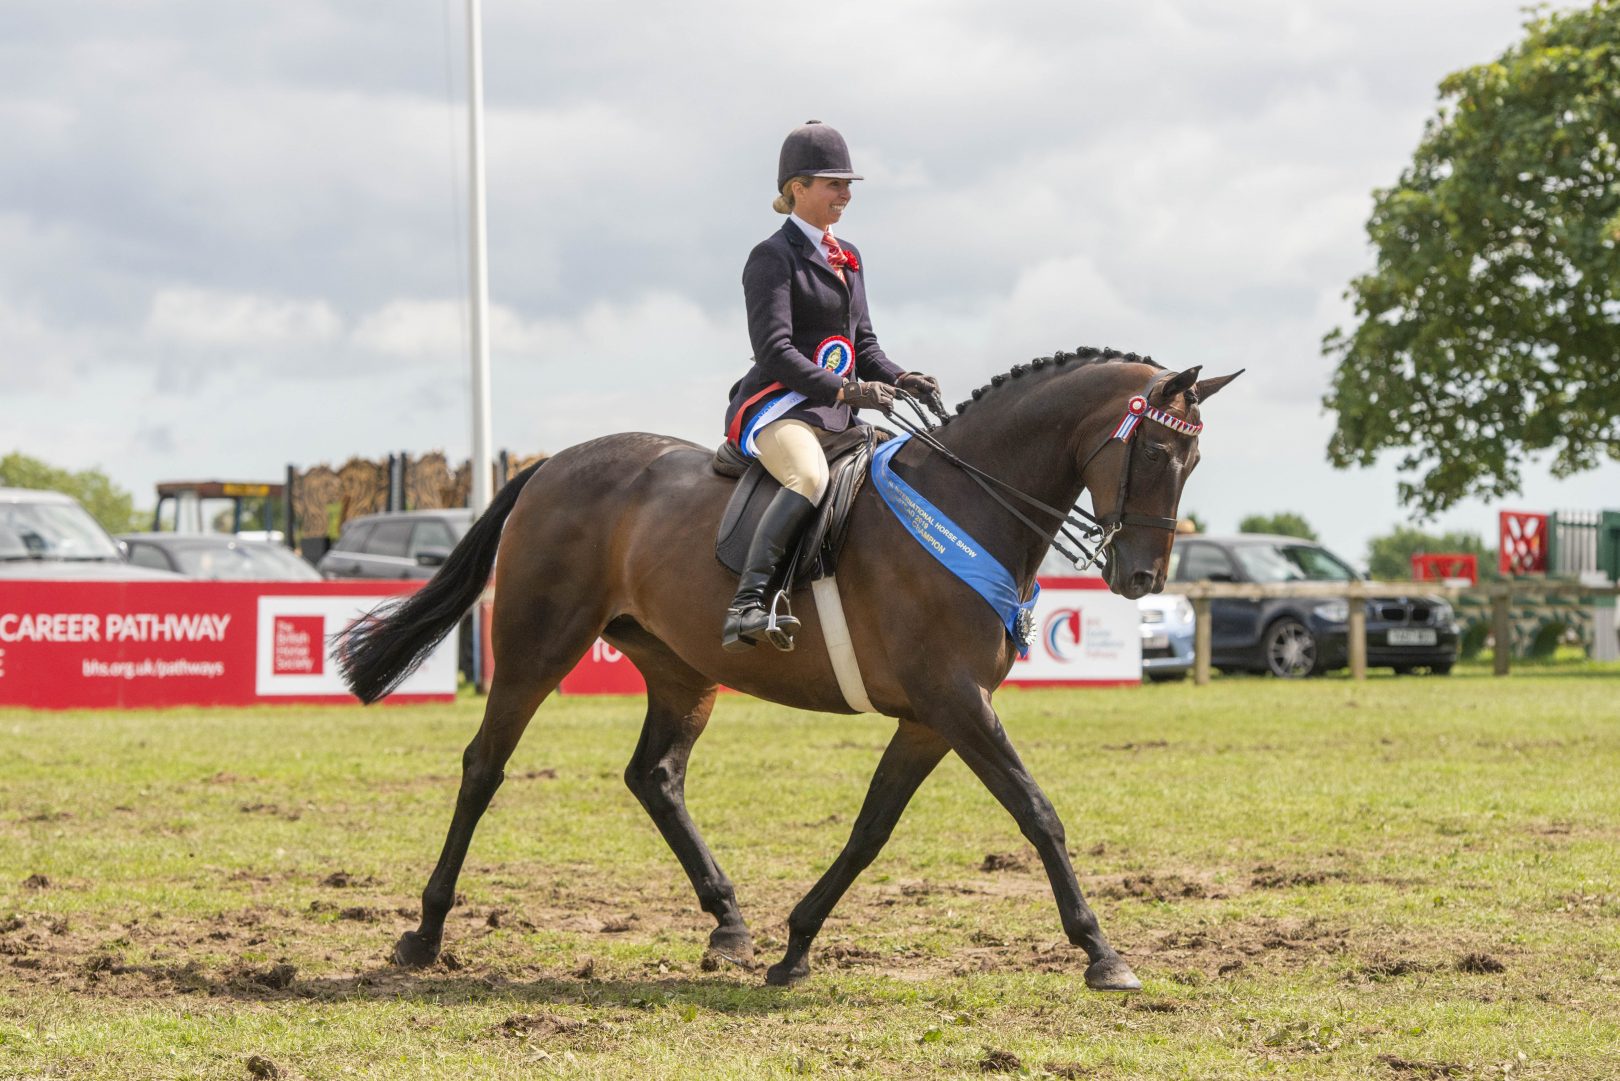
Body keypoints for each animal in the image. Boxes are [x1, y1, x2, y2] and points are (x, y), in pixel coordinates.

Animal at [338, 346, 1240, 992]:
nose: (1141, 577)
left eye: (1193, 461)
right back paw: (424, 932)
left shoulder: (931, 717)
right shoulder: (956, 702)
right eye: (1156, 447)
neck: (967, 503)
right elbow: (1037, 811)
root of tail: (551, 465)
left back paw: (729, 922)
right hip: (537, 648)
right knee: (484, 766)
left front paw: (796, 943)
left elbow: (871, 828)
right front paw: (1101, 951)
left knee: (654, 776)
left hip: (683, 670)